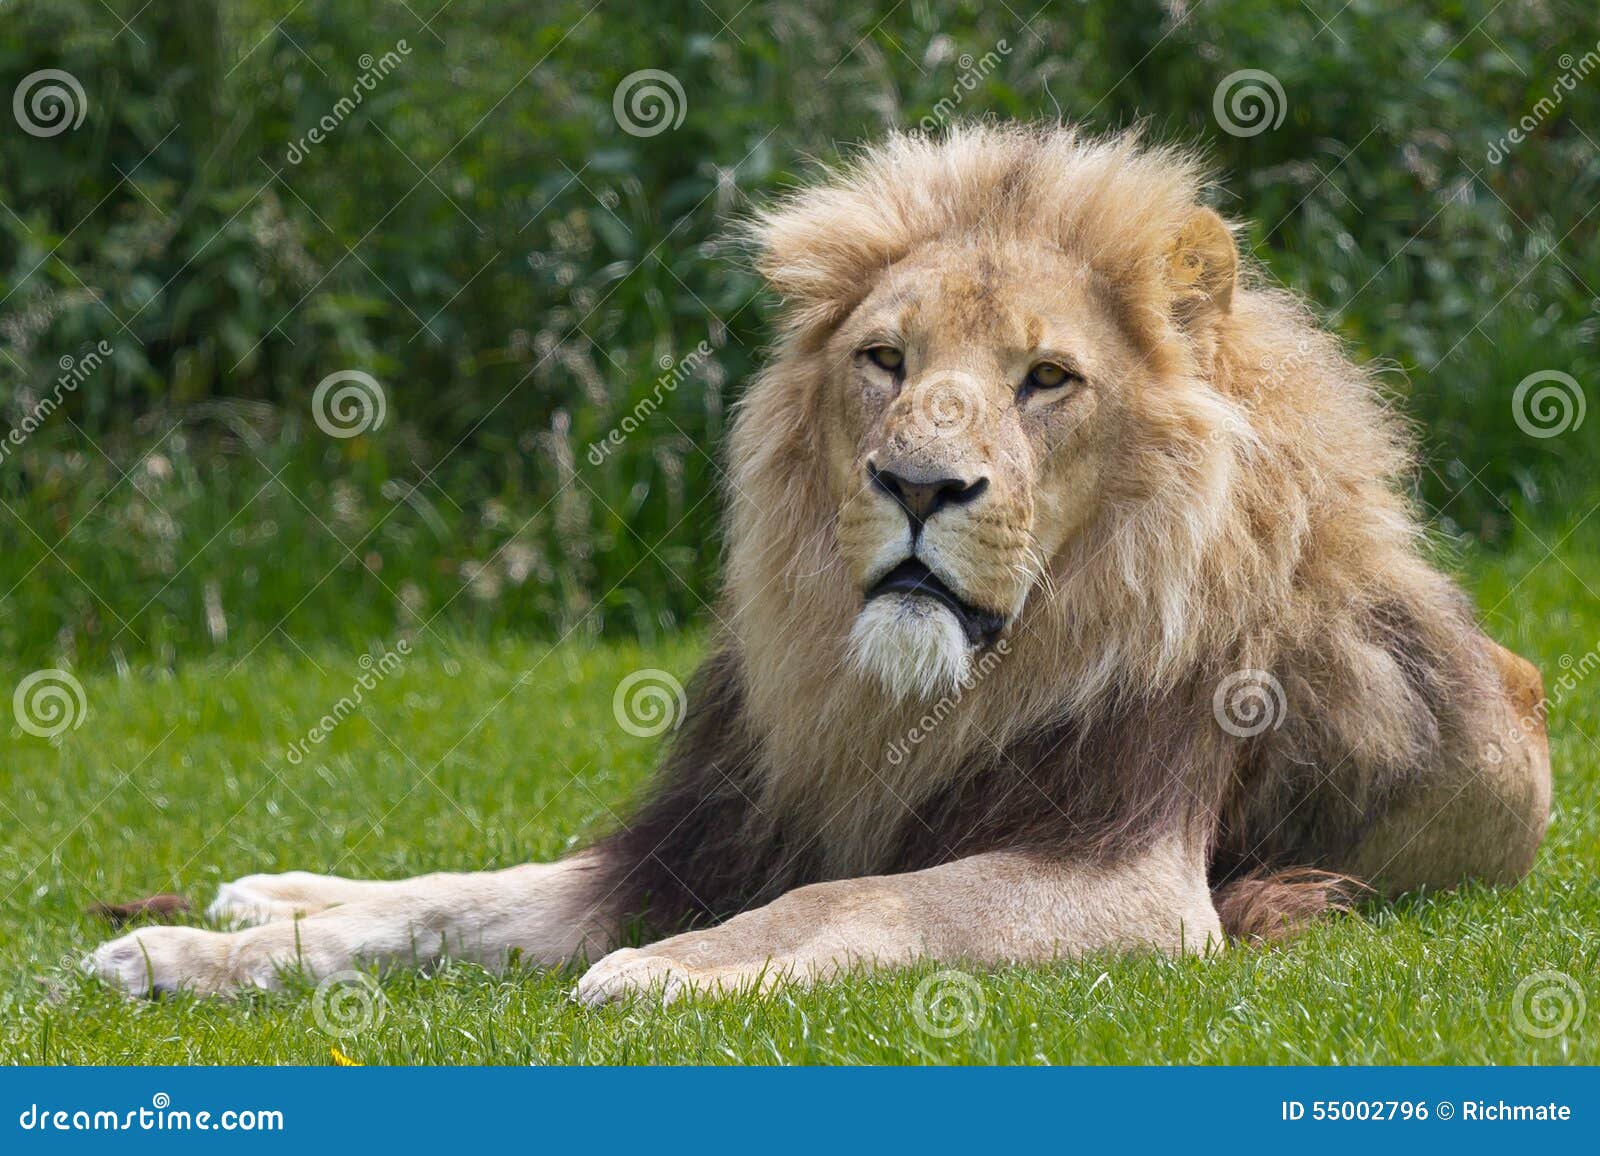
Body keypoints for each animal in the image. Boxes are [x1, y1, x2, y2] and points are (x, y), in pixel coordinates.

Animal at [89, 124, 1552, 1004]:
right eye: (885, 360)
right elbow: (446, 907)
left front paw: (669, 972)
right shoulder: (715, 827)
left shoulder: (1128, 882)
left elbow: (858, 897)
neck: (901, 697)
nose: (918, 485)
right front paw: (178, 954)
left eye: (1046, 380)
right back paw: (244, 897)